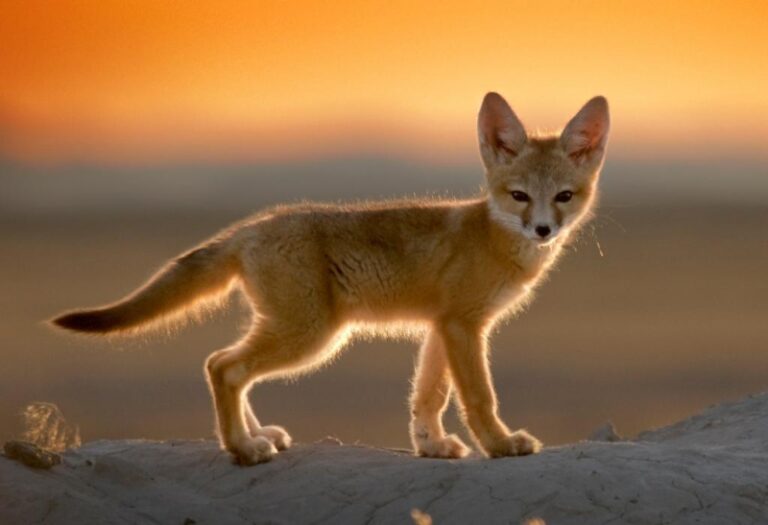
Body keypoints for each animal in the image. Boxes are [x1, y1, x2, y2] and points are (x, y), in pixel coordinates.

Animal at [52, 92, 610, 465]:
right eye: (519, 196)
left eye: (564, 196)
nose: (542, 229)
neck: (491, 235)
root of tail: (250, 226)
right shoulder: (464, 326)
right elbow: (477, 397)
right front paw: (499, 444)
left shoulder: (440, 326)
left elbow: (427, 397)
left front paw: (430, 446)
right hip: (312, 336)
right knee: (224, 368)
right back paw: (243, 449)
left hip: (294, 331)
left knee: (221, 362)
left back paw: (258, 436)